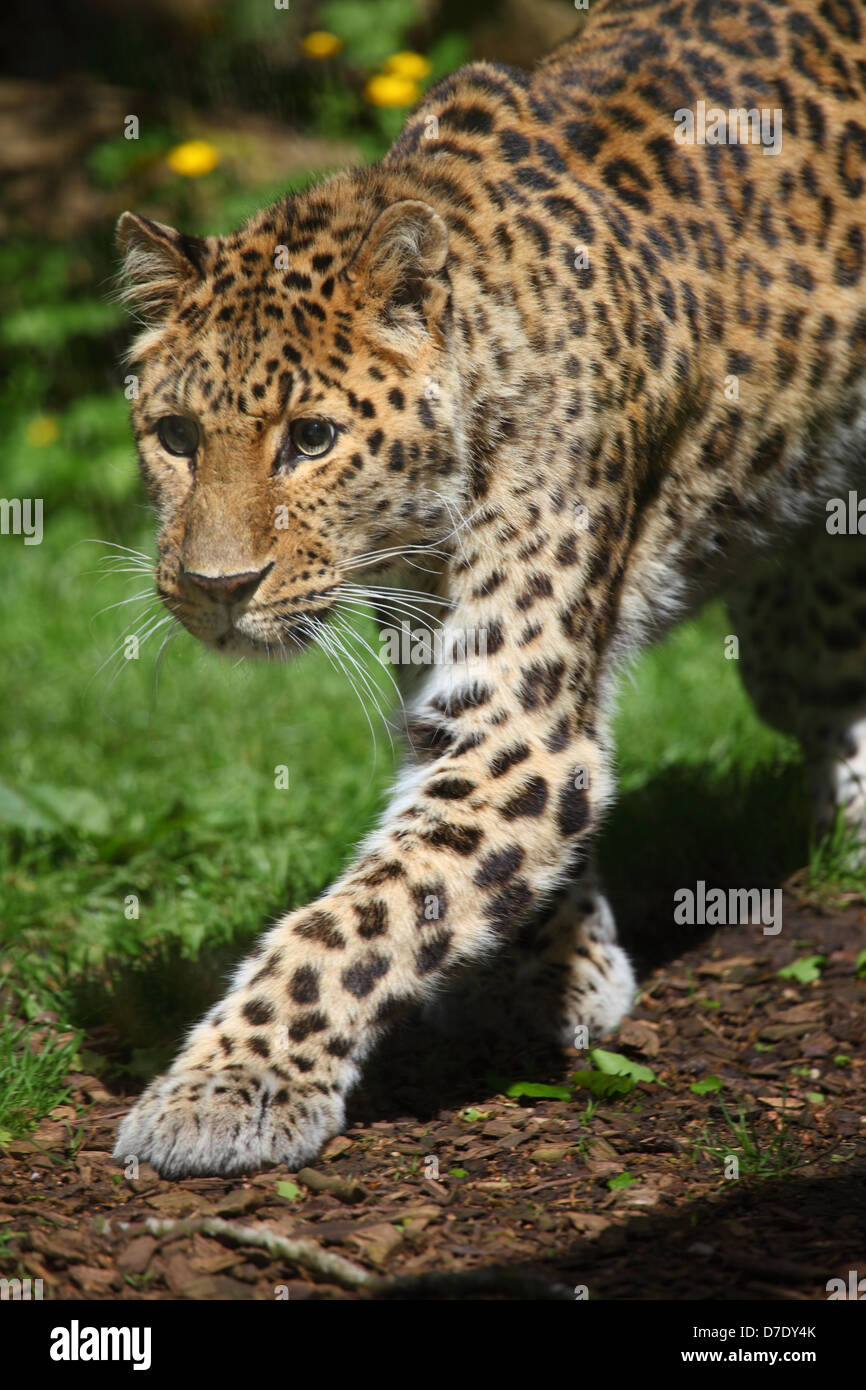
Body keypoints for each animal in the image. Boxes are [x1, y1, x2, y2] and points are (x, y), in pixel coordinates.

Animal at [113, 0, 866, 1178]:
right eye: (176, 436)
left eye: (311, 439)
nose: (213, 587)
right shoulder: (462, 687)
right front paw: (560, 970)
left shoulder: (515, 722)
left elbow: (349, 923)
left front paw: (222, 1088)